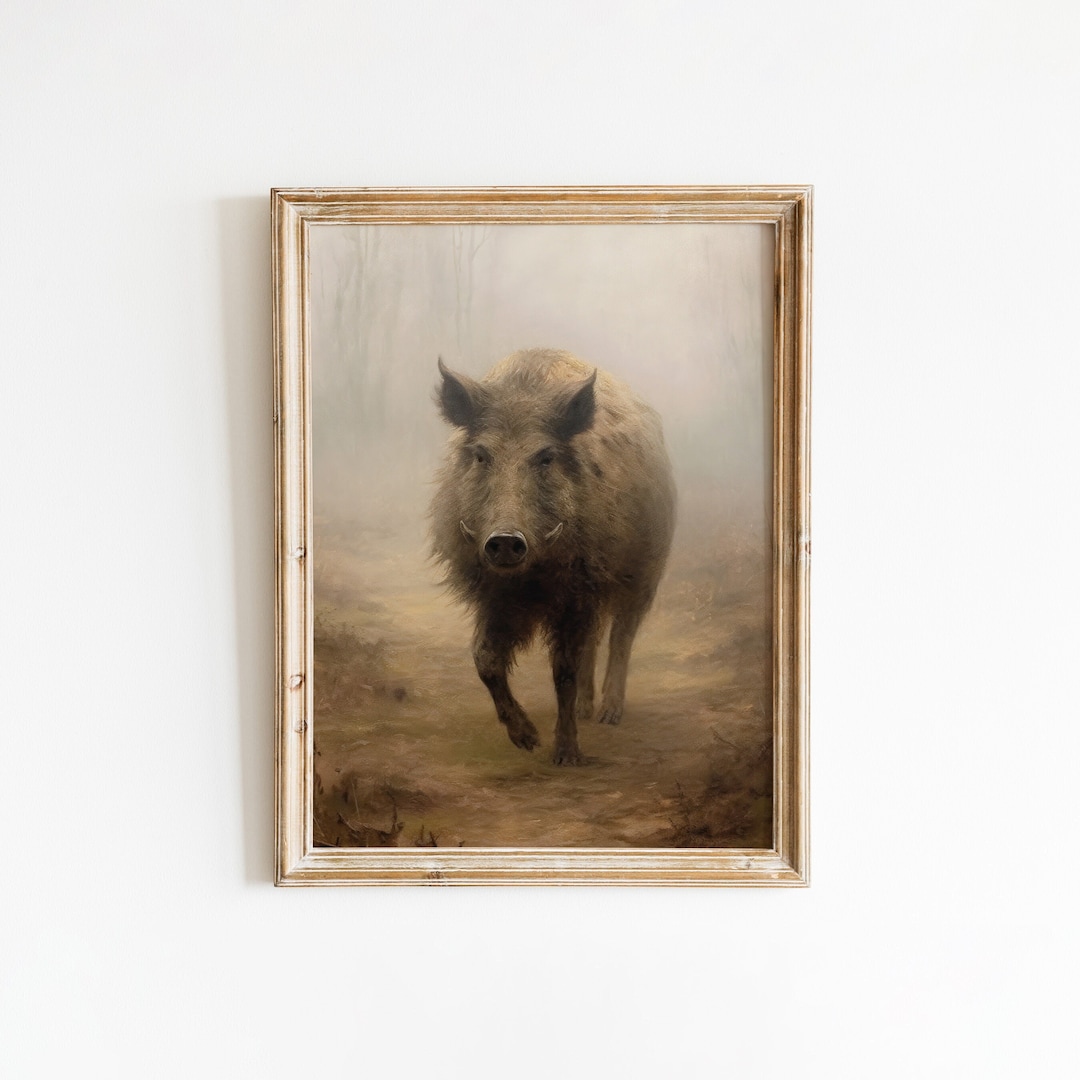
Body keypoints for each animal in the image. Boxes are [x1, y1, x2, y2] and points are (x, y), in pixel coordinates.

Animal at [430, 348, 676, 765]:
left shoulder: (580, 587)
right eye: (481, 455)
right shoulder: (493, 594)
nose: (506, 539)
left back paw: (609, 714)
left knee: (622, 635)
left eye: (545, 457)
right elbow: (484, 659)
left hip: (644, 569)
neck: (529, 579)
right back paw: (586, 709)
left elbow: (563, 670)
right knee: (595, 639)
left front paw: (566, 756)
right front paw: (527, 740)